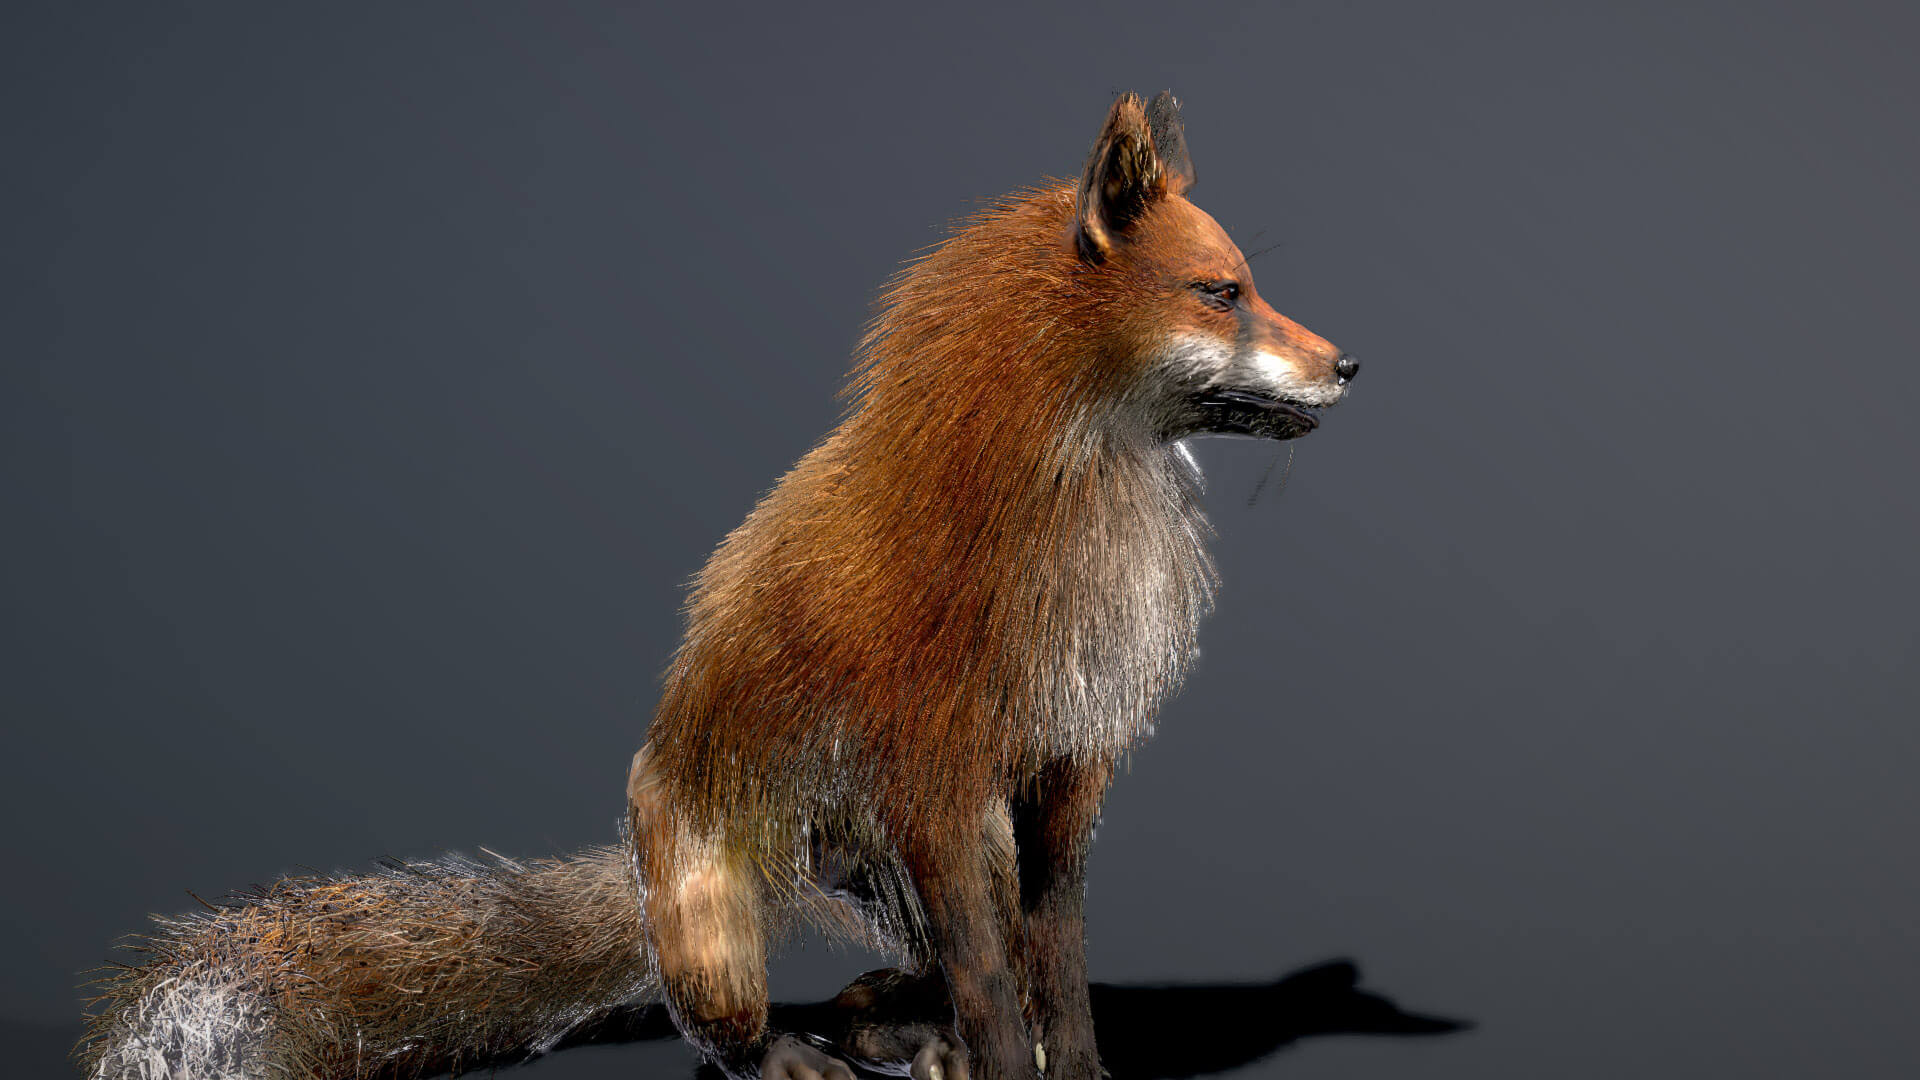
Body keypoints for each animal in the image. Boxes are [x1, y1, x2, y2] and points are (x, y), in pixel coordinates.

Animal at [79, 91, 1359, 1080]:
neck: (1077, 526)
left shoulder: (1060, 780)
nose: (1350, 362)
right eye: (1222, 293)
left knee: (879, 995)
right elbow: (1000, 987)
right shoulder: (941, 792)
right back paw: (804, 1055)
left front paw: (1075, 1066)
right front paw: (1001, 1063)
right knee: (740, 1028)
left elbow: (1058, 973)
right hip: (718, 914)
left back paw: (906, 1039)